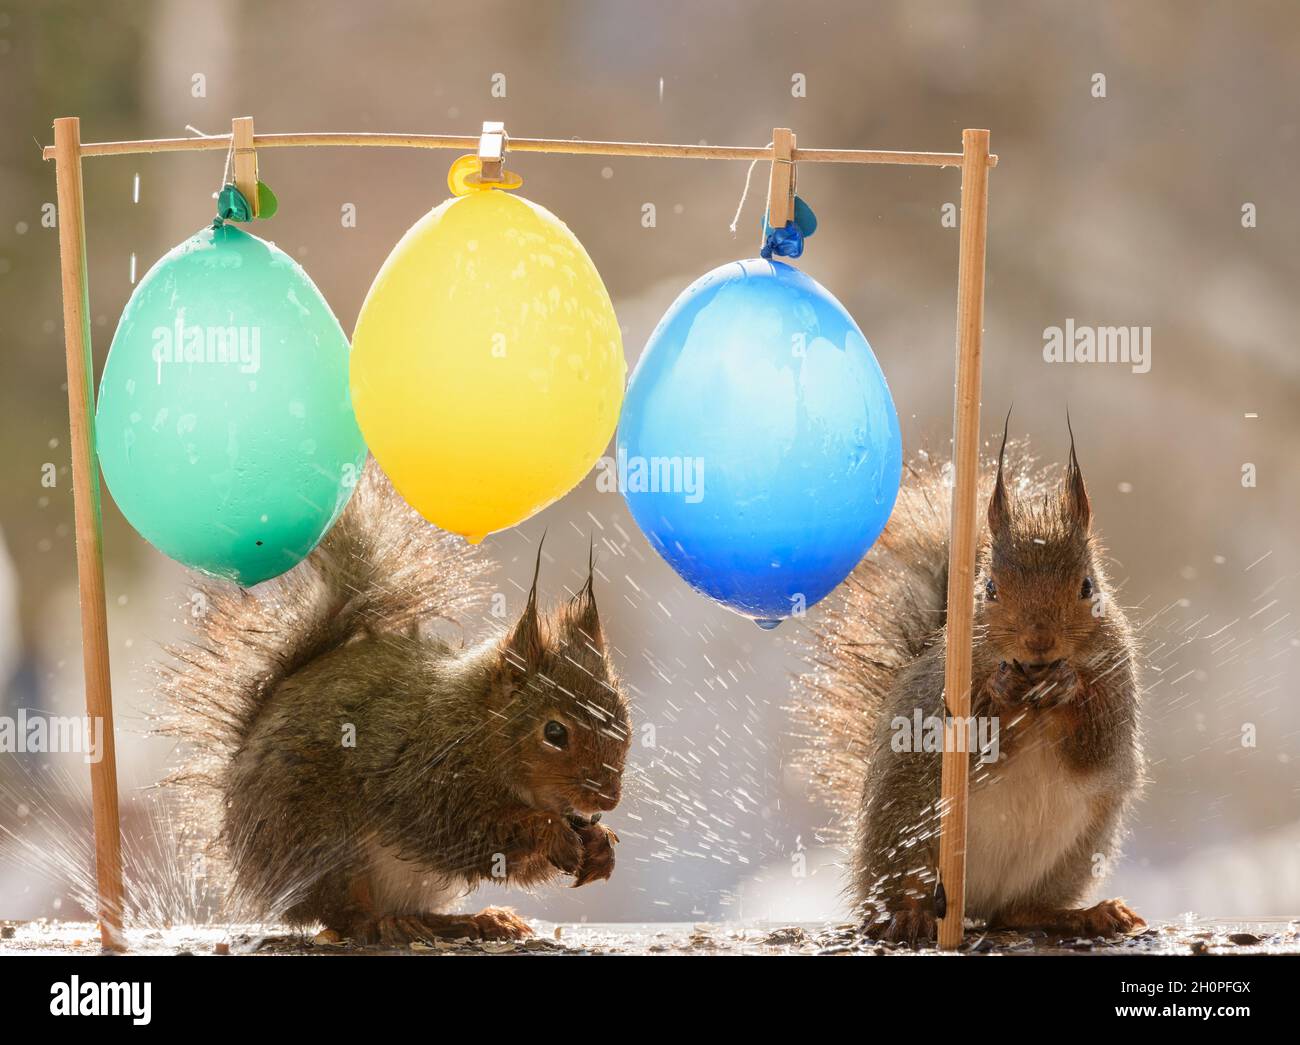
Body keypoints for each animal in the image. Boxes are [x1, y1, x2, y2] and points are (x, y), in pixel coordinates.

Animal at [158, 462, 631, 945]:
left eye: (624, 722)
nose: (608, 799)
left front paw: (599, 844)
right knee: (345, 915)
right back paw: (388, 922)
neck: (478, 726)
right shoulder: (424, 780)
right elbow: (468, 833)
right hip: (327, 846)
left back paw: (474, 919)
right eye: (554, 732)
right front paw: (553, 833)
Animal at [792, 417, 1145, 946]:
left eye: (1088, 586)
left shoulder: (1118, 683)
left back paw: (1086, 914)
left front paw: (1068, 684)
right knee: (902, 896)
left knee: (1016, 913)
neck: (1035, 694)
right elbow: (969, 738)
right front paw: (1001, 692)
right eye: (989, 588)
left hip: (1075, 852)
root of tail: (971, 904)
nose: (1040, 643)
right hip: (904, 834)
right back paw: (907, 916)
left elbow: (1097, 743)